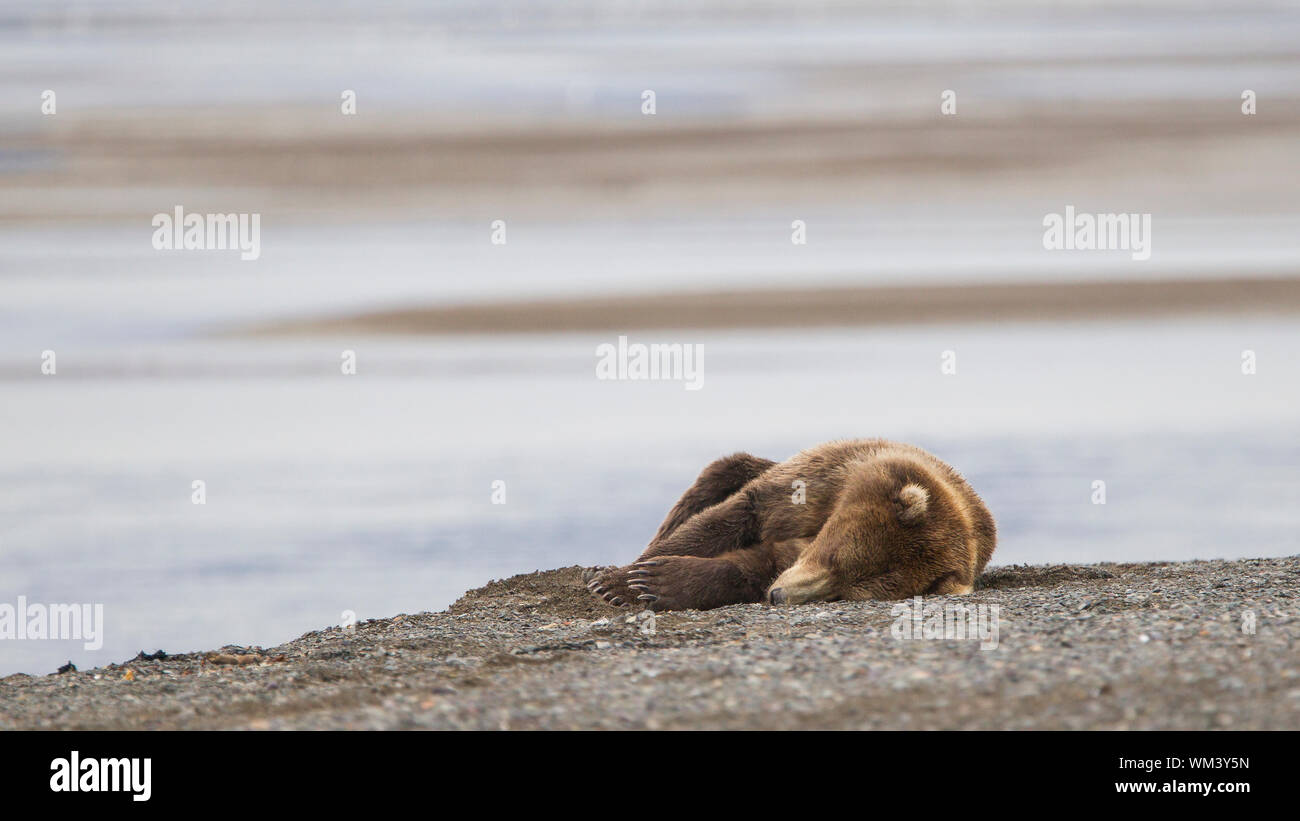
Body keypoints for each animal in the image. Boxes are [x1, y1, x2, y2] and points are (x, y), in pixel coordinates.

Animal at [585, 439, 996, 611]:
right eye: (834, 558)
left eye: (843, 593)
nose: (779, 596)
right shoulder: (811, 488)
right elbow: (729, 519)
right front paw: (617, 583)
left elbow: (755, 565)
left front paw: (660, 583)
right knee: (719, 474)